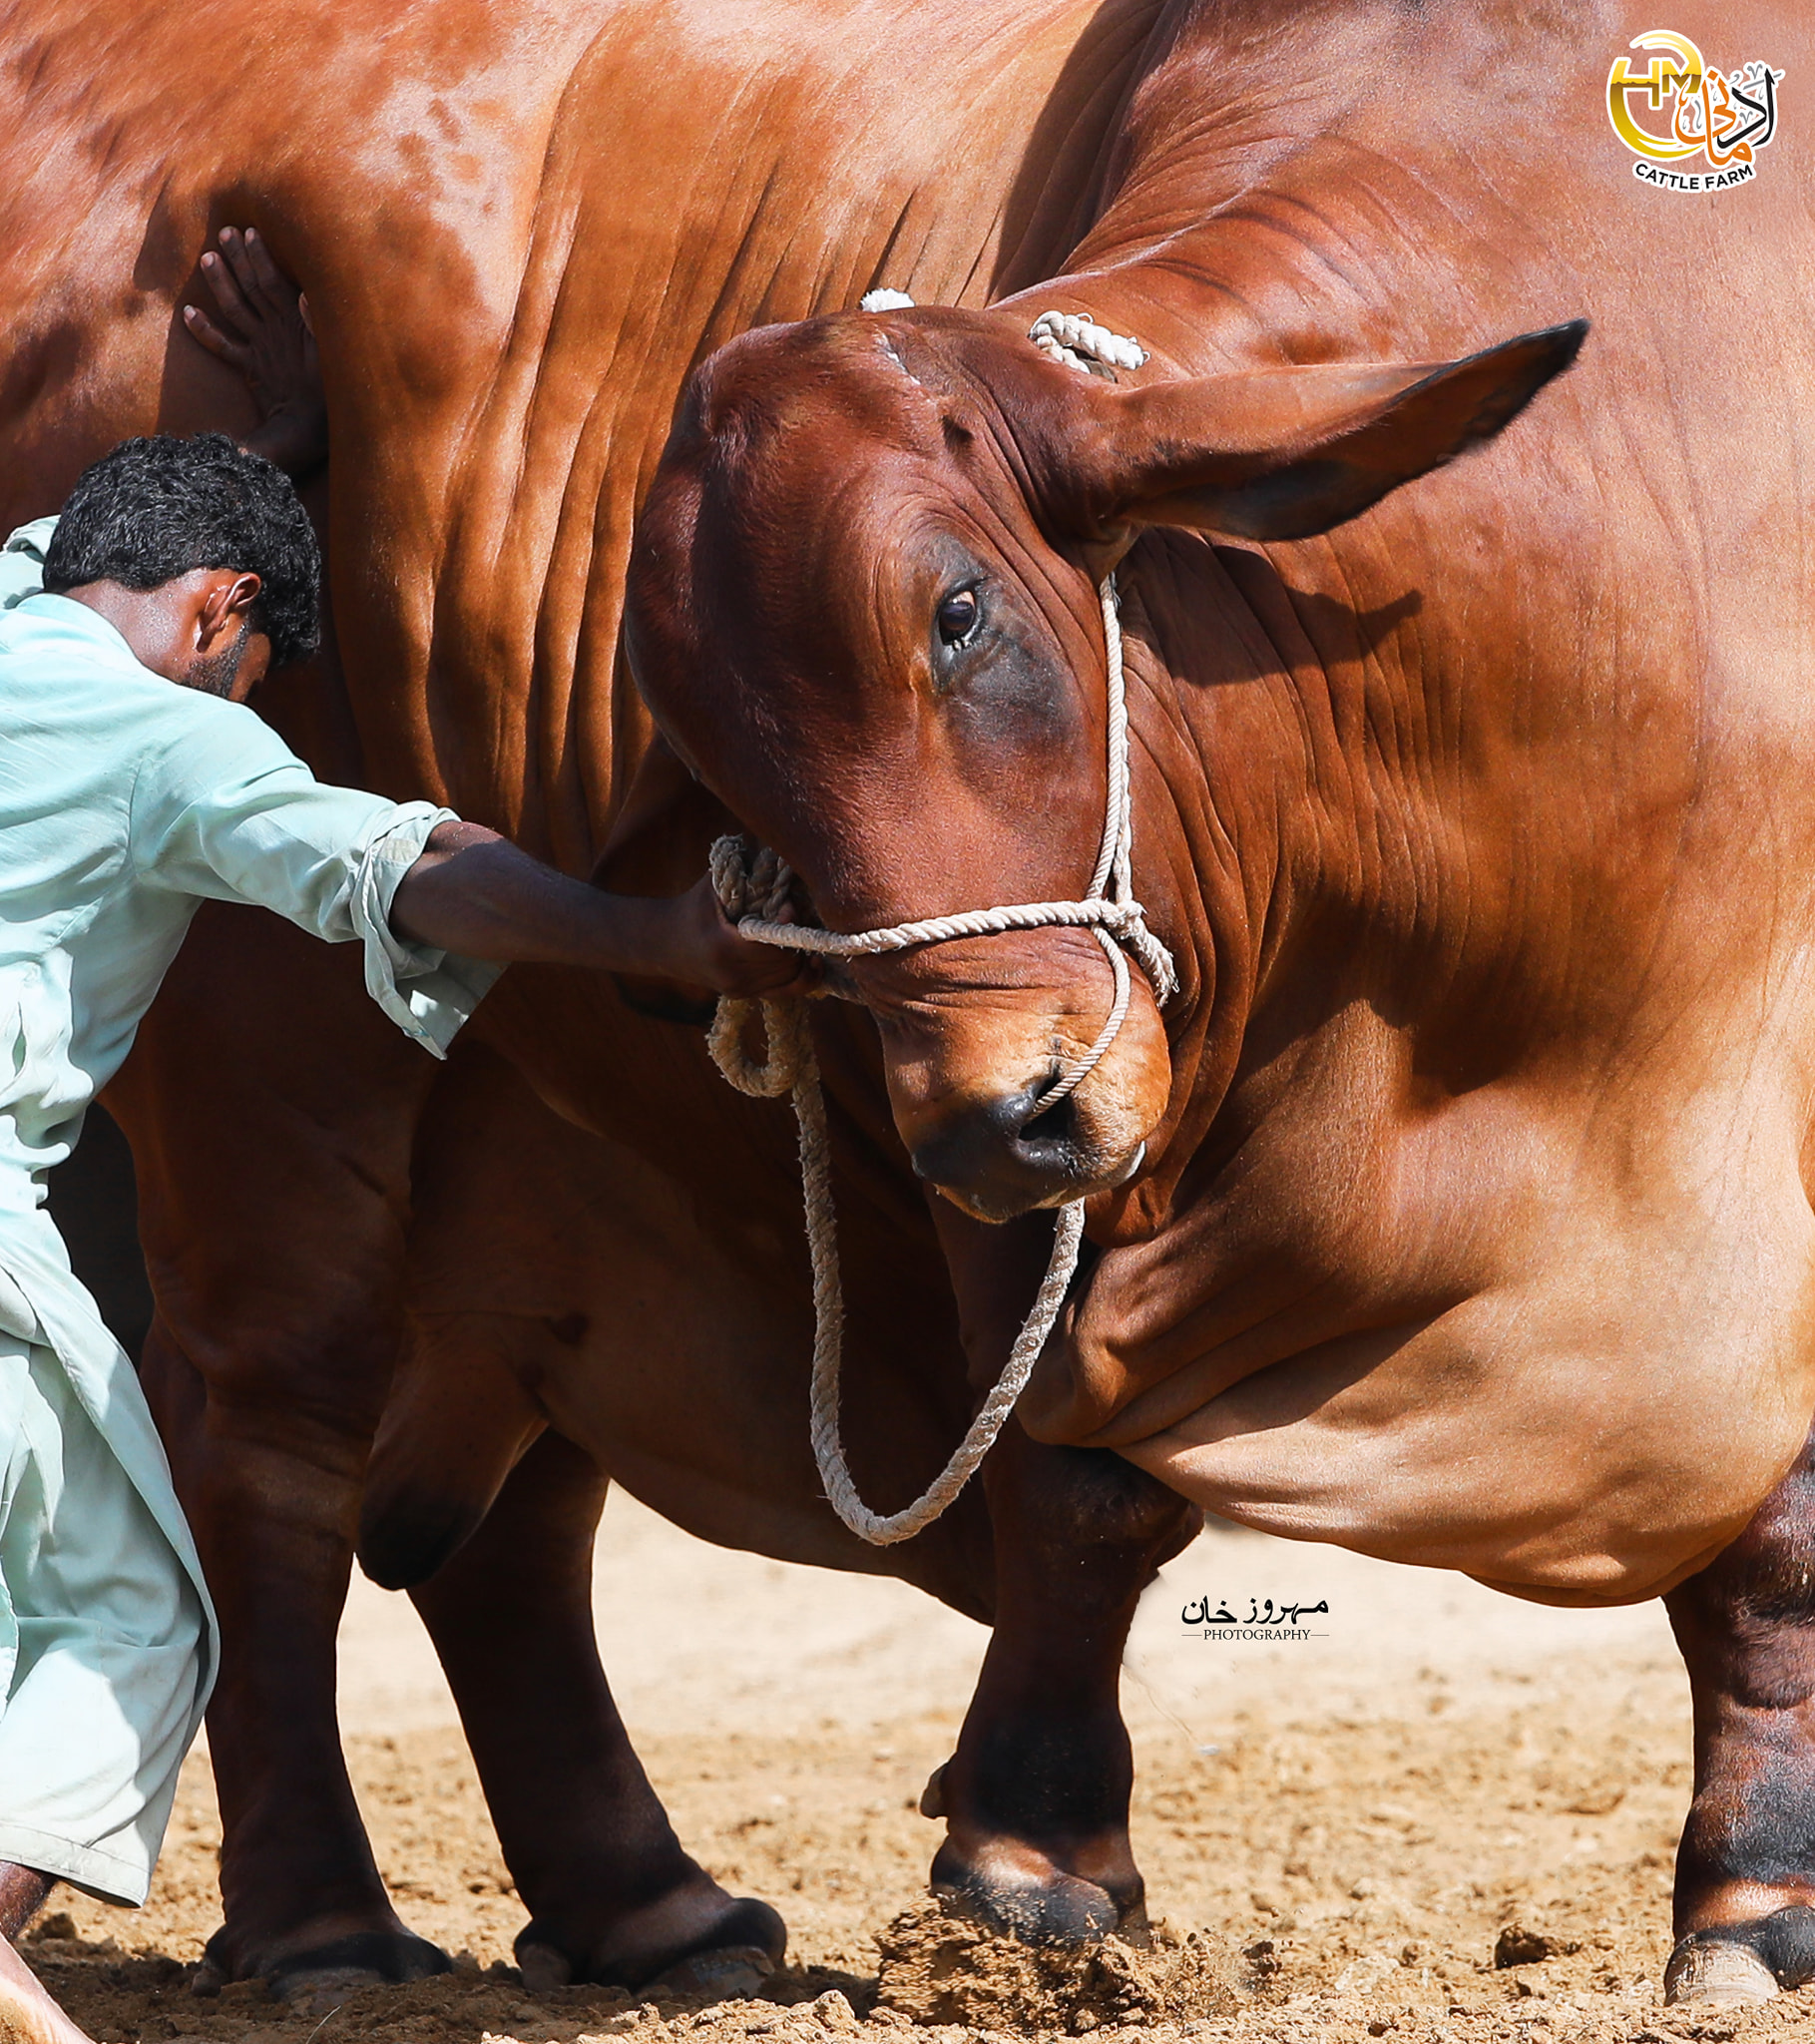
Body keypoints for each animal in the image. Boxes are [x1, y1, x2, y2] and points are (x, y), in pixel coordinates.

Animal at [620, 0, 1815, 2011]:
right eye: (703, 738)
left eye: (956, 613)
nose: (1002, 1116)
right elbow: (1065, 1481)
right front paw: (1026, 1861)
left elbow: (1777, 1529)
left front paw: (1755, 1890)